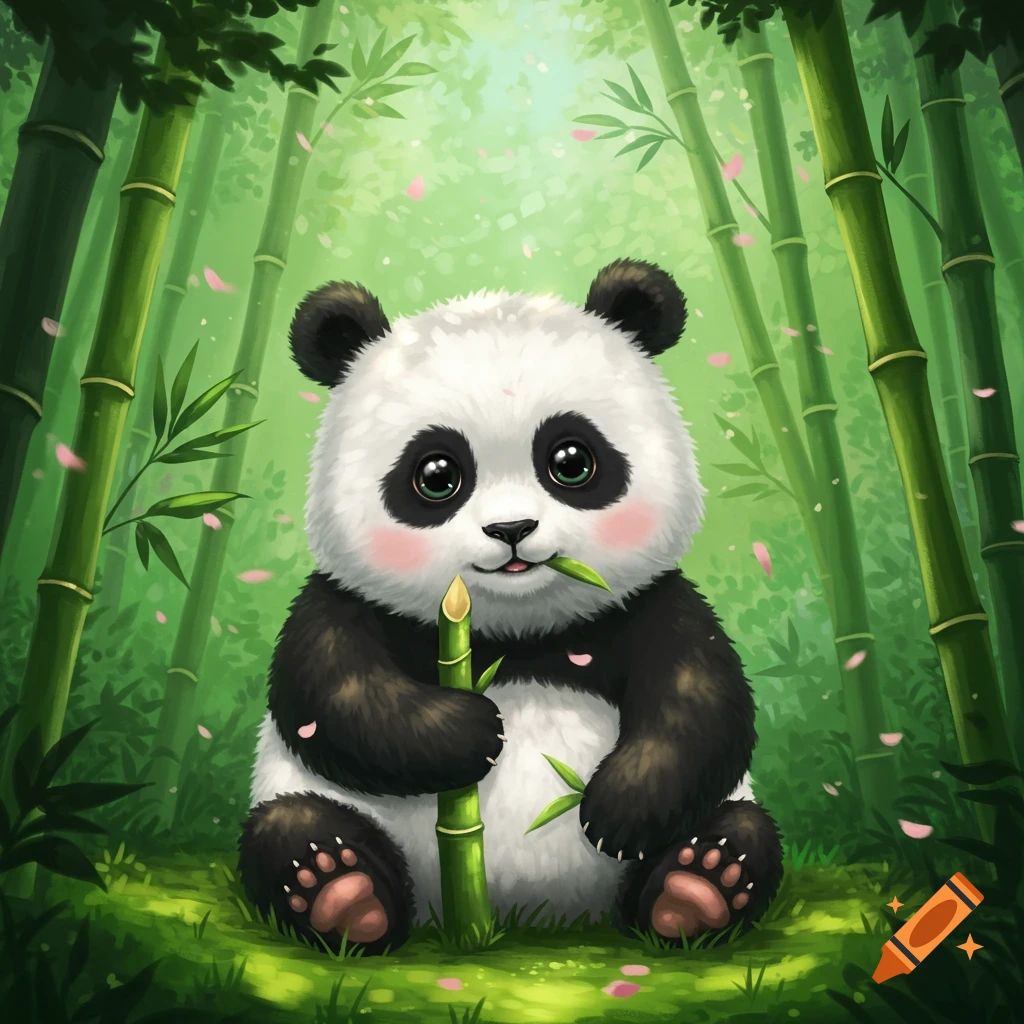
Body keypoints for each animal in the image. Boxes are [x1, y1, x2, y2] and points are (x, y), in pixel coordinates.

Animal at [239, 258, 784, 955]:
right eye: (437, 475)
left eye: (571, 461)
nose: (512, 529)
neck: (516, 634)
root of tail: (540, 914)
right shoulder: (347, 602)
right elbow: (330, 696)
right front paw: (474, 731)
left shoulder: (650, 603)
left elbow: (703, 699)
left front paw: (618, 810)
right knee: (288, 826)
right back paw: (340, 891)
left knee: (742, 828)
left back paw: (697, 887)